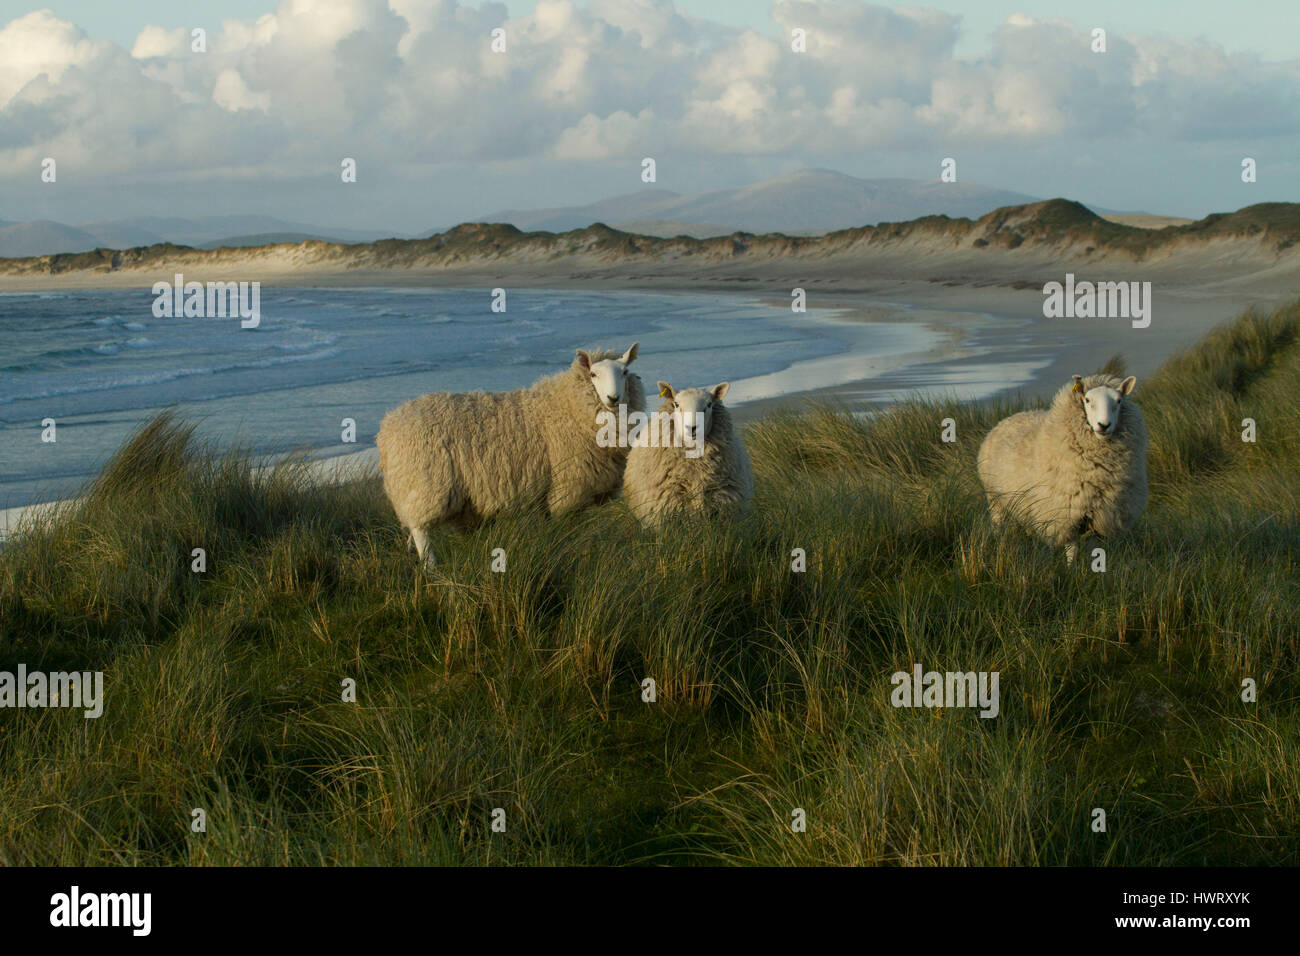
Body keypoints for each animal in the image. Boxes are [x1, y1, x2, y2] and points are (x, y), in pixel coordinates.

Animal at [377, 343, 645, 563]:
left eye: (624, 372)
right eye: (593, 374)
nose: (613, 398)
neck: (568, 407)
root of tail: (387, 426)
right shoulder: (568, 489)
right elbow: (568, 532)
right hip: (425, 485)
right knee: (421, 533)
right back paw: (431, 570)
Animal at [976, 373, 1148, 563]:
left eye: (1118, 401)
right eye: (1087, 400)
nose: (1104, 425)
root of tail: (1006, 419)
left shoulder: (1099, 515)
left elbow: (1093, 547)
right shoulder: (1065, 513)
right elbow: (1072, 548)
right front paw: (1071, 567)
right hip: (995, 499)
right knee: (998, 526)